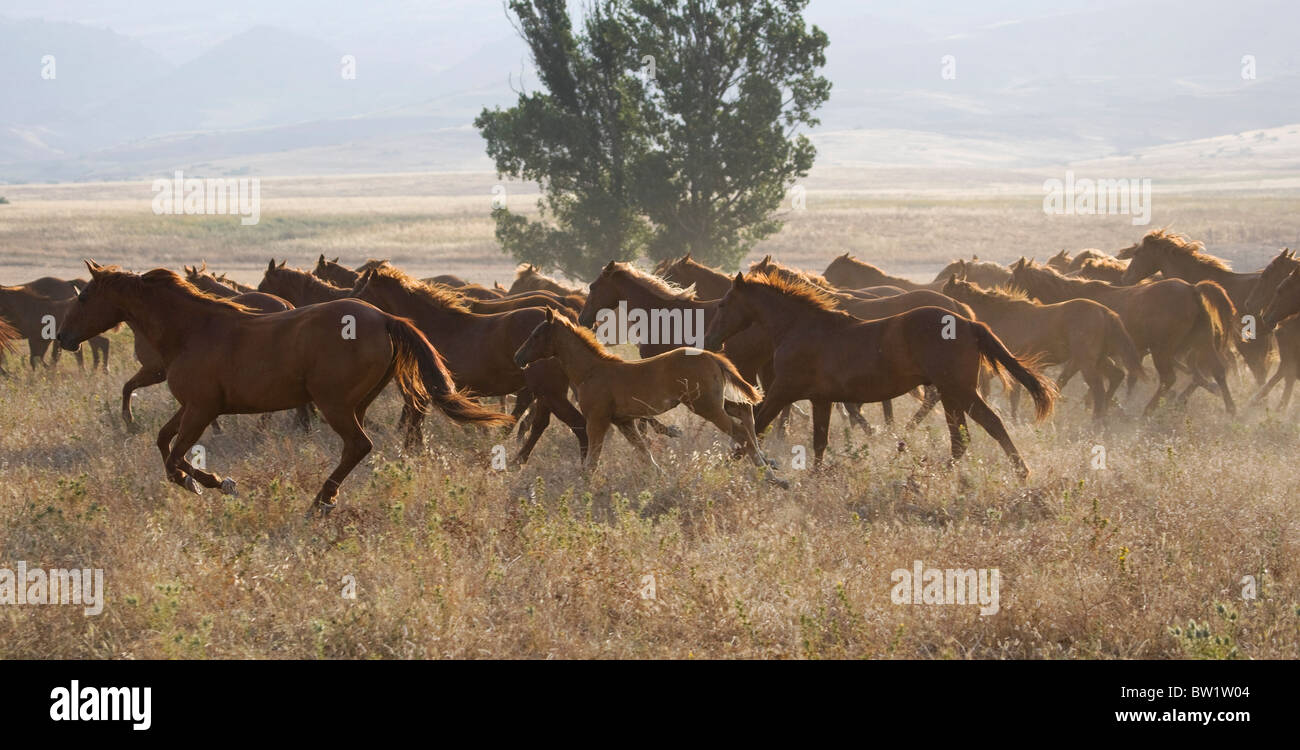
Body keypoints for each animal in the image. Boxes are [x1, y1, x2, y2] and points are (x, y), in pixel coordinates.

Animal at [57, 261, 511, 516]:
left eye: (83, 298)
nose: (61, 337)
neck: (192, 330)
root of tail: (384, 318)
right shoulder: (192, 407)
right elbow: (163, 444)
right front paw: (199, 481)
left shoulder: (202, 409)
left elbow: (175, 456)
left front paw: (216, 482)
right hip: (355, 403)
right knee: (356, 448)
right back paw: (327, 498)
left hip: (333, 404)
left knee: (359, 445)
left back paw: (319, 502)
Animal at [514, 307, 784, 486]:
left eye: (536, 335)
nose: (518, 357)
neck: (591, 371)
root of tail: (713, 357)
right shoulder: (623, 420)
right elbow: (643, 451)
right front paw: (662, 476)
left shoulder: (597, 420)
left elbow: (593, 458)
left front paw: (585, 485)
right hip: (713, 401)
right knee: (745, 412)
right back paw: (771, 468)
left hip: (705, 405)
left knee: (739, 431)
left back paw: (771, 476)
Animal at [702, 271, 1054, 476]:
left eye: (722, 304)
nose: (710, 341)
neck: (799, 327)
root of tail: (968, 322)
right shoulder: (821, 399)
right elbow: (818, 442)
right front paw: (815, 476)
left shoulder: (783, 390)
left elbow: (754, 425)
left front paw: (729, 465)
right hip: (951, 393)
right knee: (960, 440)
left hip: (960, 390)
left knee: (992, 423)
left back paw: (1021, 472)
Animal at [941, 276, 1145, 420]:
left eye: (946, 291)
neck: (1004, 314)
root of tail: (1105, 312)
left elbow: (1013, 394)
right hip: (1098, 359)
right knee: (1116, 376)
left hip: (1086, 362)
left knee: (1098, 389)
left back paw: (1095, 422)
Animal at [1010, 258, 1236, 415]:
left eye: (1013, 279)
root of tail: (1192, 289)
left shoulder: (1082, 357)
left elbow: (1066, 379)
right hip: (1202, 343)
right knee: (1217, 371)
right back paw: (1230, 409)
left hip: (1162, 350)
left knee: (1170, 379)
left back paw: (1148, 411)